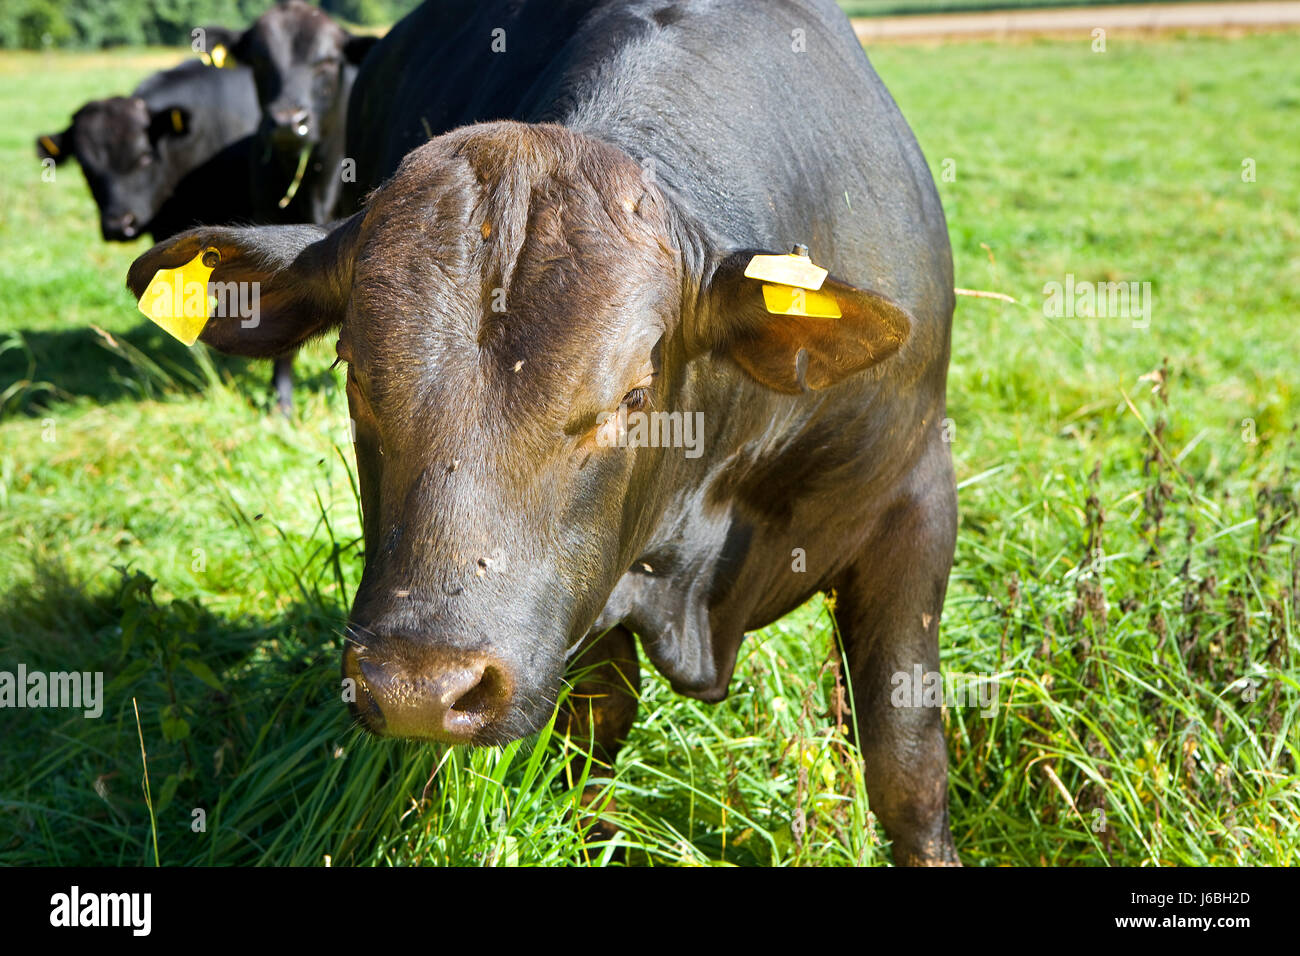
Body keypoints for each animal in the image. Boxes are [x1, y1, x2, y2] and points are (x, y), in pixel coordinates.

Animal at [127, 0, 960, 865]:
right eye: (354, 374)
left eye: (634, 393)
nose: (419, 687)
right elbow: (593, 737)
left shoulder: (917, 501)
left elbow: (905, 758)